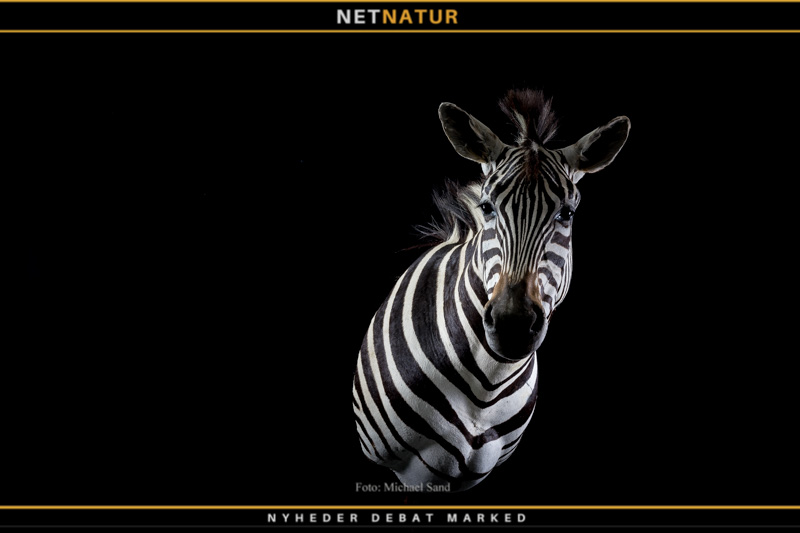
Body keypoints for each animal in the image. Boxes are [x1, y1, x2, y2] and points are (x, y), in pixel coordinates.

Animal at [352, 89, 630, 492]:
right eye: (487, 208)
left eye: (567, 214)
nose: (512, 325)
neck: (487, 386)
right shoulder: (396, 470)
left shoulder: (476, 476)